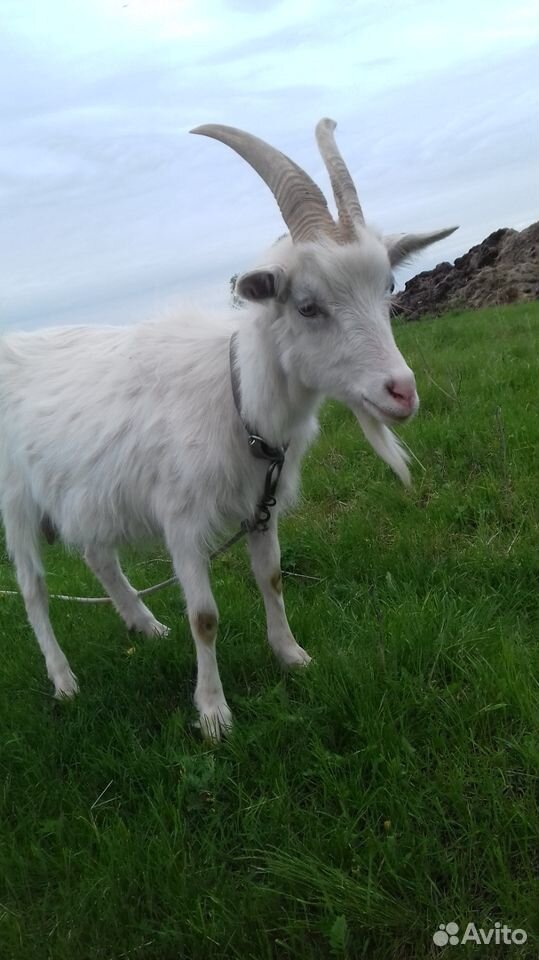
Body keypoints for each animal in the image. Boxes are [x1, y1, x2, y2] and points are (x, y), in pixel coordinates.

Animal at [0, 119, 457, 739]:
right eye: (307, 306)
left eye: (386, 288)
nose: (401, 392)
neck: (237, 397)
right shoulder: (182, 521)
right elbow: (204, 616)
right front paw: (213, 714)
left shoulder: (260, 506)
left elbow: (273, 579)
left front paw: (293, 657)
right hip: (16, 501)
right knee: (33, 589)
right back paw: (64, 680)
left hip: (85, 492)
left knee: (98, 555)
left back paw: (145, 625)